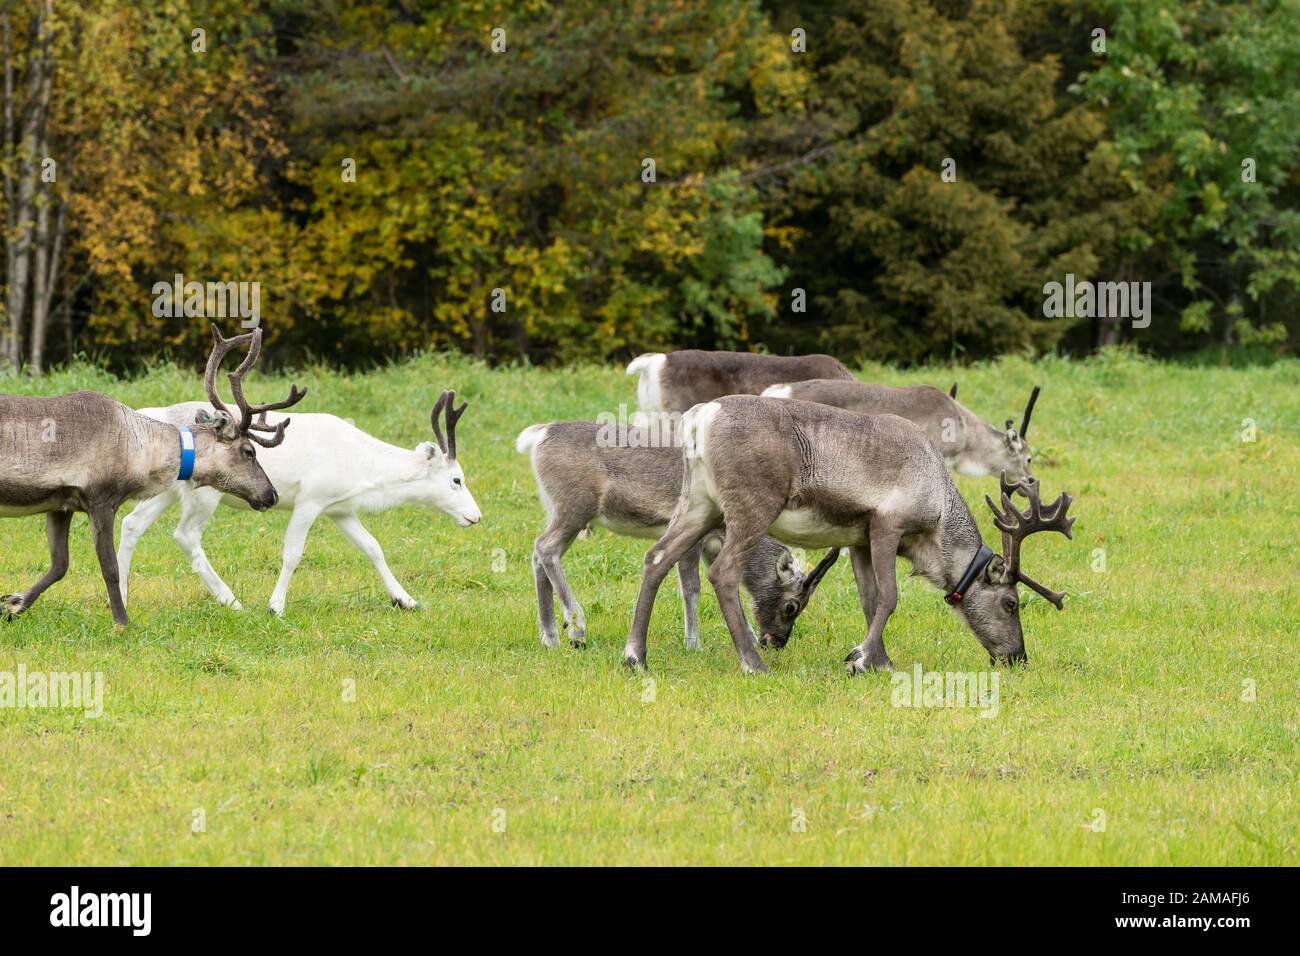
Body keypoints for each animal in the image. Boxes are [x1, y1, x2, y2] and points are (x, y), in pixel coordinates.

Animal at [0, 325, 305, 626]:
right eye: (249, 451)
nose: (271, 494)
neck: (142, 450)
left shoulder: (61, 504)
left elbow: (59, 565)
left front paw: (15, 604)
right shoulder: (101, 500)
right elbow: (110, 568)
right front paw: (122, 622)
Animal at [116, 390, 481, 616]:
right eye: (457, 479)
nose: (475, 516)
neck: (363, 465)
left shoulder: (340, 509)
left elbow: (373, 547)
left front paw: (406, 600)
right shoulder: (310, 500)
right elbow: (293, 553)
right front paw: (275, 607)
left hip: (168, 488)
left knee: (132, 523)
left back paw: (121, 596)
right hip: (206, 492)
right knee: (185, 534)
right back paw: (232, 601)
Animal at [623, 395, 1073, 675]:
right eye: (1012, 603)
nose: (1018, 657)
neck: (937, 515)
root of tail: (700, 417)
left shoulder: (858, 538)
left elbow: (869, 599)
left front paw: (881, 661)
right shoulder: (887, 524)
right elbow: (890, 597)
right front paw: (860, 659)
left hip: (700, 502)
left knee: (656, 557)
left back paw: (635, 657)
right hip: (752, 506)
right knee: (723, 571)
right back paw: (753, 663)